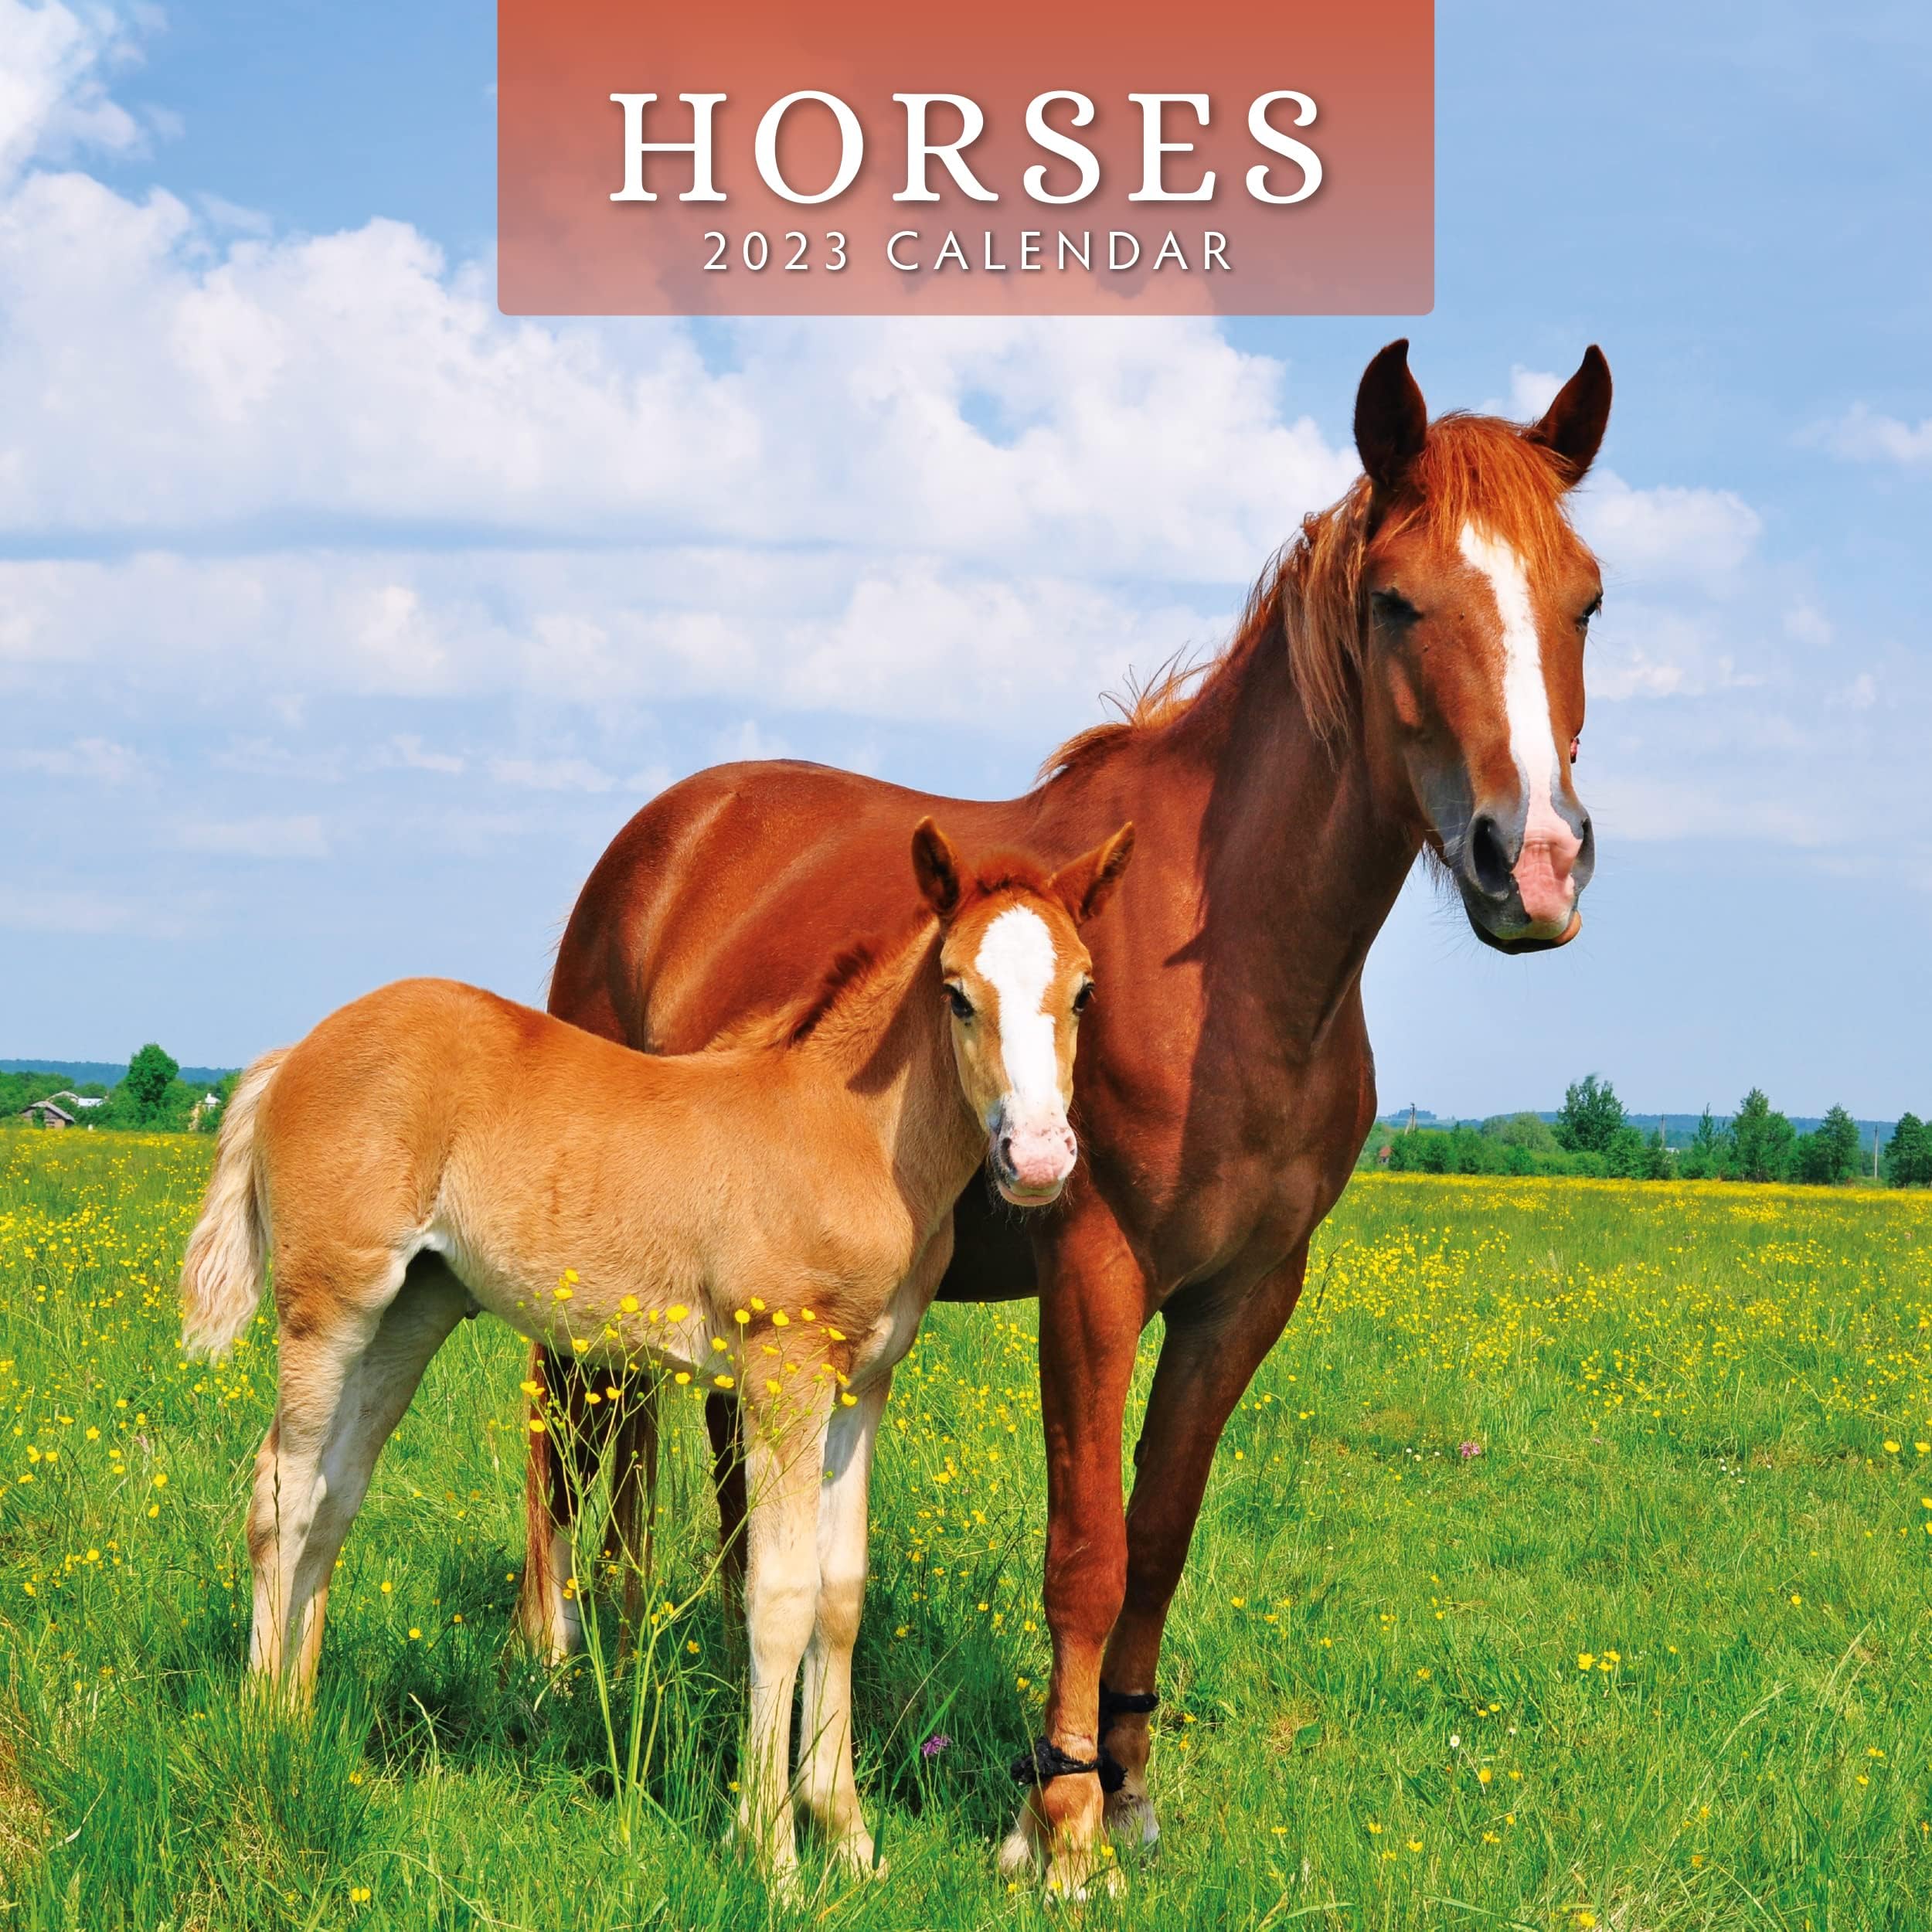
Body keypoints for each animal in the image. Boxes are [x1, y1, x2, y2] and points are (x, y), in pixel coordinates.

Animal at [178, 816, 1135, 1881]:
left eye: (1084, 990)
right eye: (957, 992)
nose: (1038, 1158)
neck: (846, 1131)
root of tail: (293, 1052)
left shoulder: (864, 1386)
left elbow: (840, 1597)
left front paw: (847, 1838)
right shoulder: (782, 1375)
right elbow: (778, 1596)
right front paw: (772, 1854)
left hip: (410, 1313)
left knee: (336, 1491)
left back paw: (297, 1718)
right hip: (330, 1305)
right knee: (283, 1490)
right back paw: (262, 1733)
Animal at [525, 338, 1612, 1893]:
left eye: (1585, 597)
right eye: (1401, 601)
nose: (1533, 865)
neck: (1221, 960)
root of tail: (664, 836)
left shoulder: (1242, 1296)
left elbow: (1158, 1535)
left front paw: (1132, 1792)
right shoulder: (1092, 1273)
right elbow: (1086, 1545)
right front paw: (1063, 1828)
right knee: (570, 1431)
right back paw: (567, 1658)